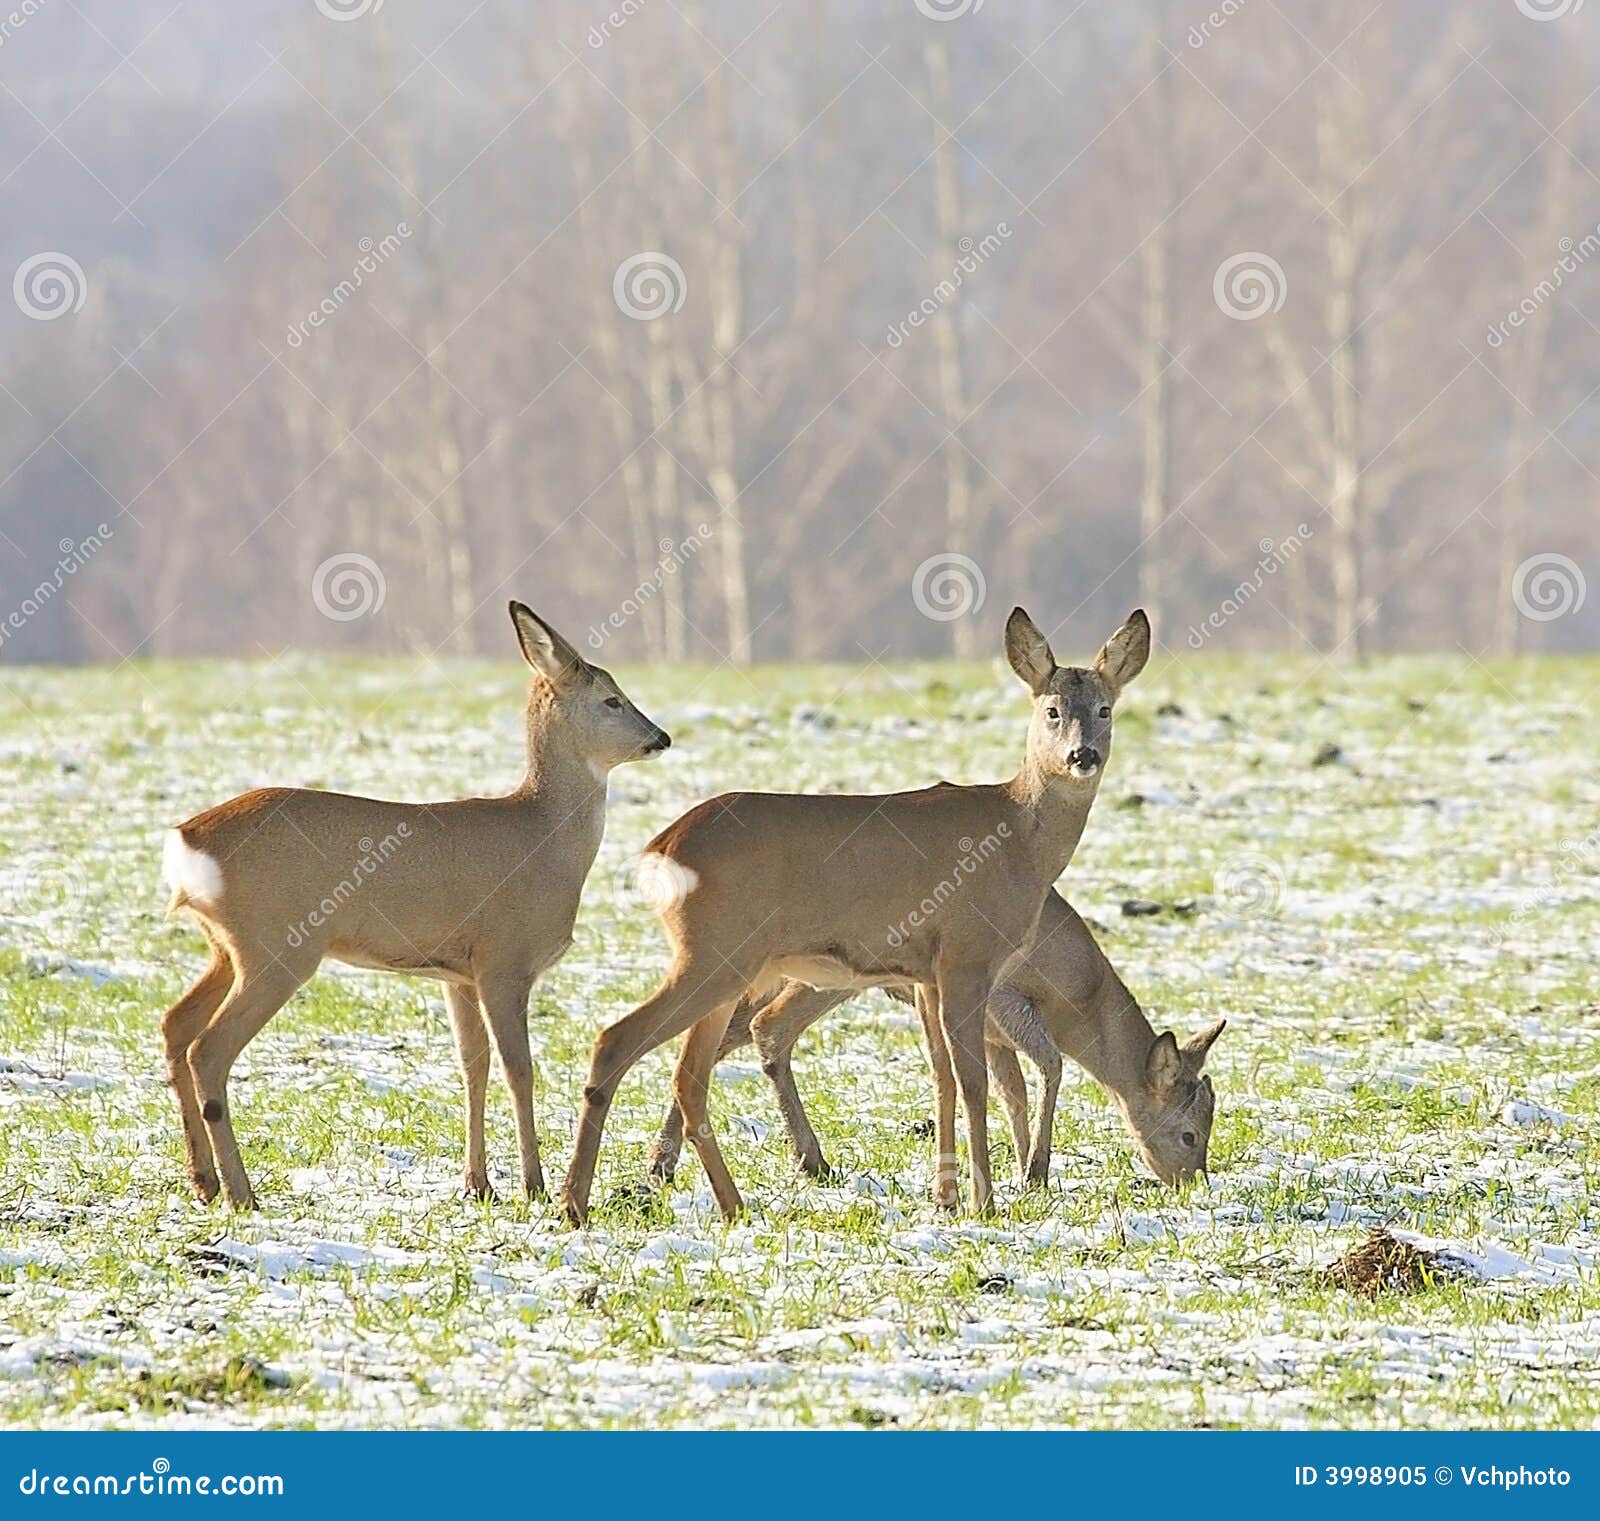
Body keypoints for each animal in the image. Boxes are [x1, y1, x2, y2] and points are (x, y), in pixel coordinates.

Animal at [158, 602, 670, 1211]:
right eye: (611, 698)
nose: (661, 737)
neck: (547, 839)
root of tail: (185, 842)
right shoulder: (504, 960)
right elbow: (518, 1069)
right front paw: (534, 1185)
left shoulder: (457, 973)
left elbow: (472, 1065)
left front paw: (479, 1184)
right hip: (277, 945)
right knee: (208, 1049)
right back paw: (242, 1193)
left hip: (225, 947)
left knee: (174, 1025)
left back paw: (204, 1181)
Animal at [557, 606, 1150, 1225]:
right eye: (1052, 710)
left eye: (1105, 709)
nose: (1083, 756)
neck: (1021, 838)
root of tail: (660, 850)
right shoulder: (967, 955)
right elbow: (973, 1080)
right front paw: (984, 1201)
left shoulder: (925, 972)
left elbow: (941, 1077)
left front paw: (946, 1197)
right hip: (714, 953)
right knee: (616, 1040)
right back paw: (574, 1201)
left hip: (727, 965)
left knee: (686, 1073)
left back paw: (727, 1204)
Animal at [647, 888, 1226, 1194]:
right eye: (1189, 1134)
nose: (1191, 1182)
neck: (1080, 996)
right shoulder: (1006, 1004)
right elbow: (1050, 1067)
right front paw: (1034, 1171)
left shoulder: (996, 1034)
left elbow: (1011, 1090)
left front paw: (1021, 1166)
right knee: (765, 1028)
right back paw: (810, 1162)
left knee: (729, 1035)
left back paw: (662, 1164)